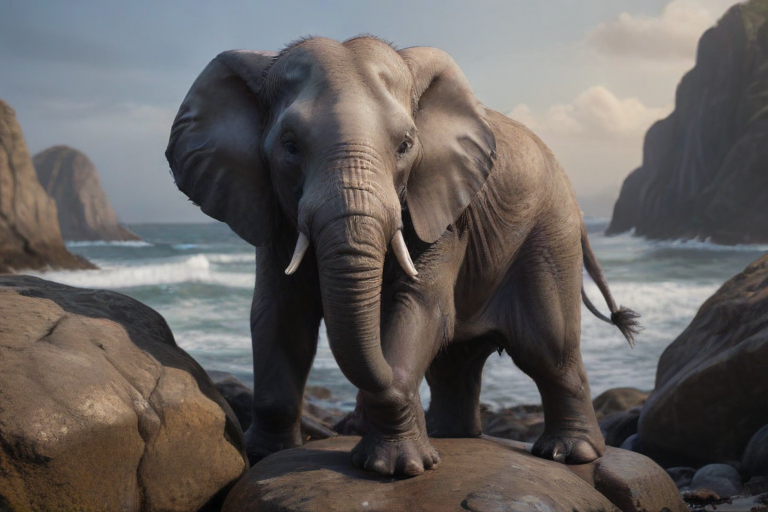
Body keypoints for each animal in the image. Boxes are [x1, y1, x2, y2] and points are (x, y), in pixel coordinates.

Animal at [165, 35, 640, 477]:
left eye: (406, 145)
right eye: (290, 145)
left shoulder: (446, 212)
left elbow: (418, 303)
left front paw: (395, 469)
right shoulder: (270, 209)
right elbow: (279, 311)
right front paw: (265, 455)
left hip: (549, 234)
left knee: (548, 349)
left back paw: (568, 454)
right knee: (455, 360)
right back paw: (452, 435)